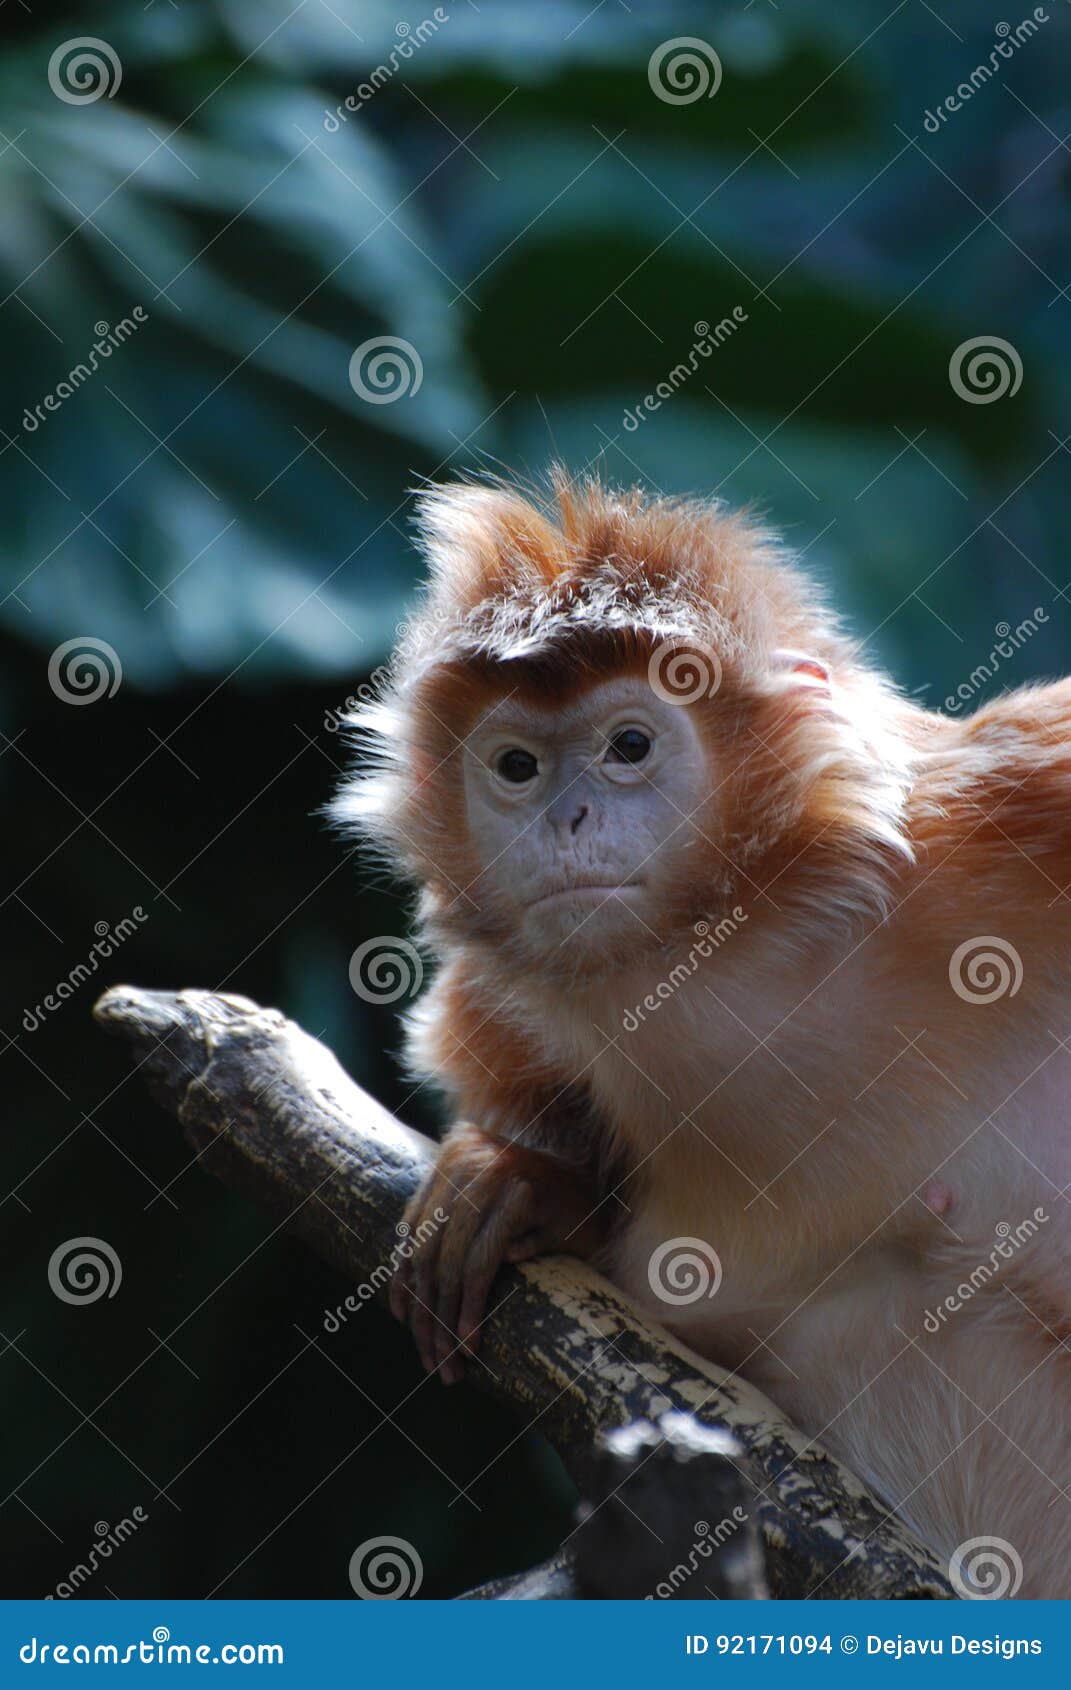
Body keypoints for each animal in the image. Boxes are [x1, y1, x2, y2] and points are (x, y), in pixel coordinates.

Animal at [332, 468, 1071, 1598]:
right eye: (516, 765)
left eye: (629, 747)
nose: (568, 819)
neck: (738, 961)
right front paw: (522, 1182)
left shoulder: (1011, 801)